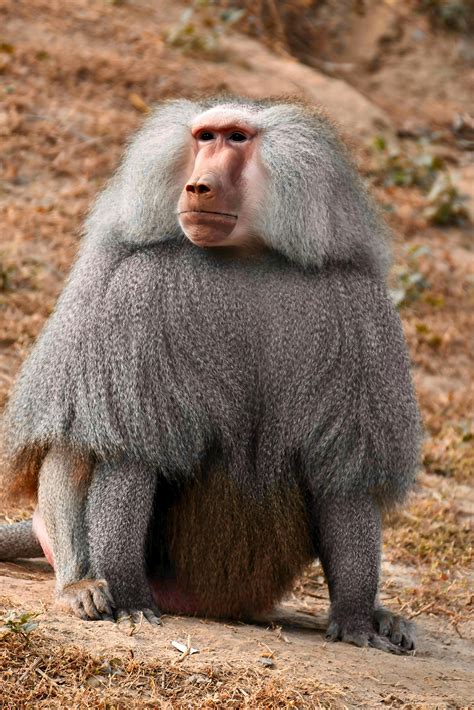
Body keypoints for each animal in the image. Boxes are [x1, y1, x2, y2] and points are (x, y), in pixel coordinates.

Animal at [0, 97, 421, 653]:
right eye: (204, 137)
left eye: (236, 138)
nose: (198, 186)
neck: (244, 255)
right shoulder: (137, 289)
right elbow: (124, 447)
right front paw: (125, 598)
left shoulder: (356, 306)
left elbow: (342, 470)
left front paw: (356, 621)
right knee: (87, 441)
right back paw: (86, 585)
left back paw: (382, 617)